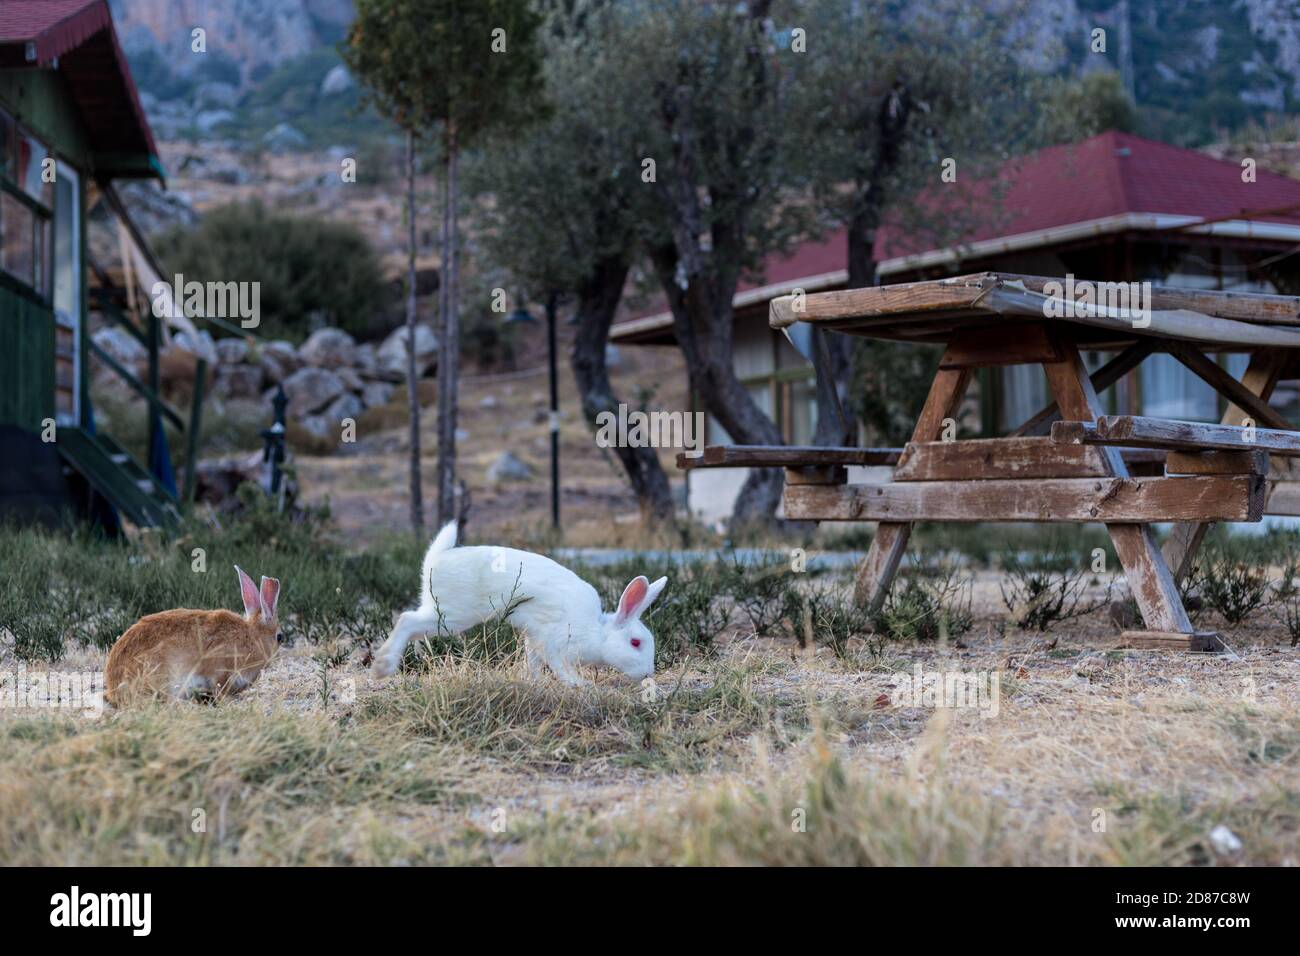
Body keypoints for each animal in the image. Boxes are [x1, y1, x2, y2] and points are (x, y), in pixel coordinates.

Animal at [372, 522, 667, 685]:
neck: (596, 632)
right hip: (451, 615)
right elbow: (559, 667)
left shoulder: (534, 639)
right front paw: (580, 685)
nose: (648, 674)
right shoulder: (554, 642)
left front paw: (536, 683)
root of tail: (436, 560)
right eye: (636, 643)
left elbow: (533, 664)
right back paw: (382, 666)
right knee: (407, 620)